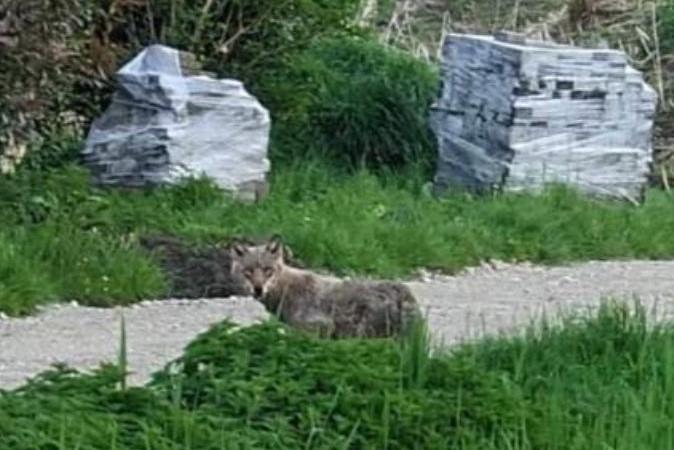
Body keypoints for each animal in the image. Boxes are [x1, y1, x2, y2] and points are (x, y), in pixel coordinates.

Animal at [229, 237, 421, 338]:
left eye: (267, 270)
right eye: (248, 271)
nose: (258, 289)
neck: (285, 290)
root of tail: (404, 293)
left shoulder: (319, 327)